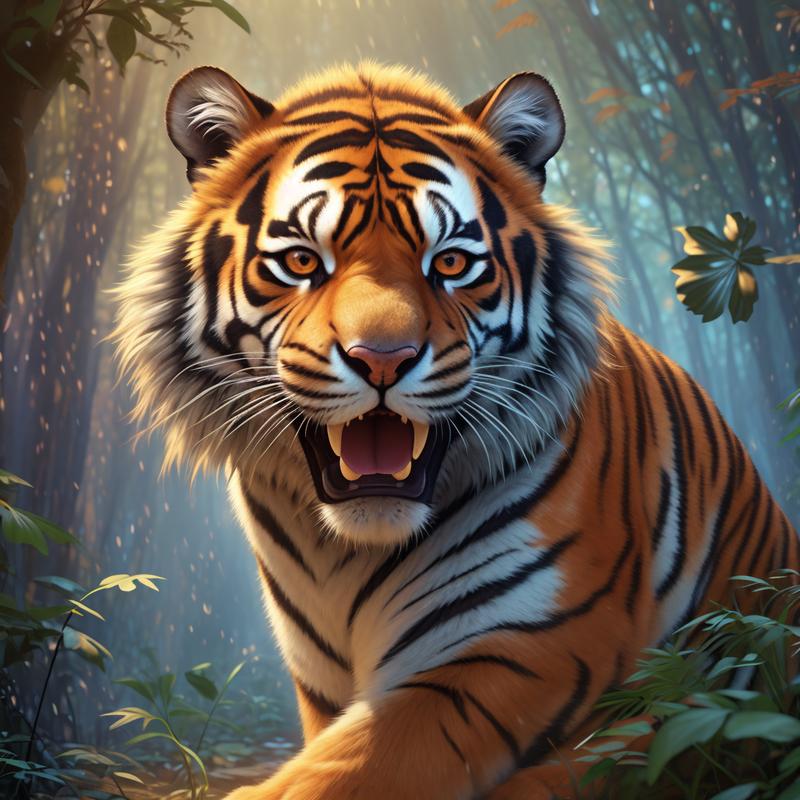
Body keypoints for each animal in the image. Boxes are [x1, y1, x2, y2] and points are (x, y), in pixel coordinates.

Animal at [113, 62, 798, 800]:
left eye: (449, 263)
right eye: (300, 262)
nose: (382, 358)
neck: (341, 553)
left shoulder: (522, 645)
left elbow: (342, 772)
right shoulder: (320, 678)